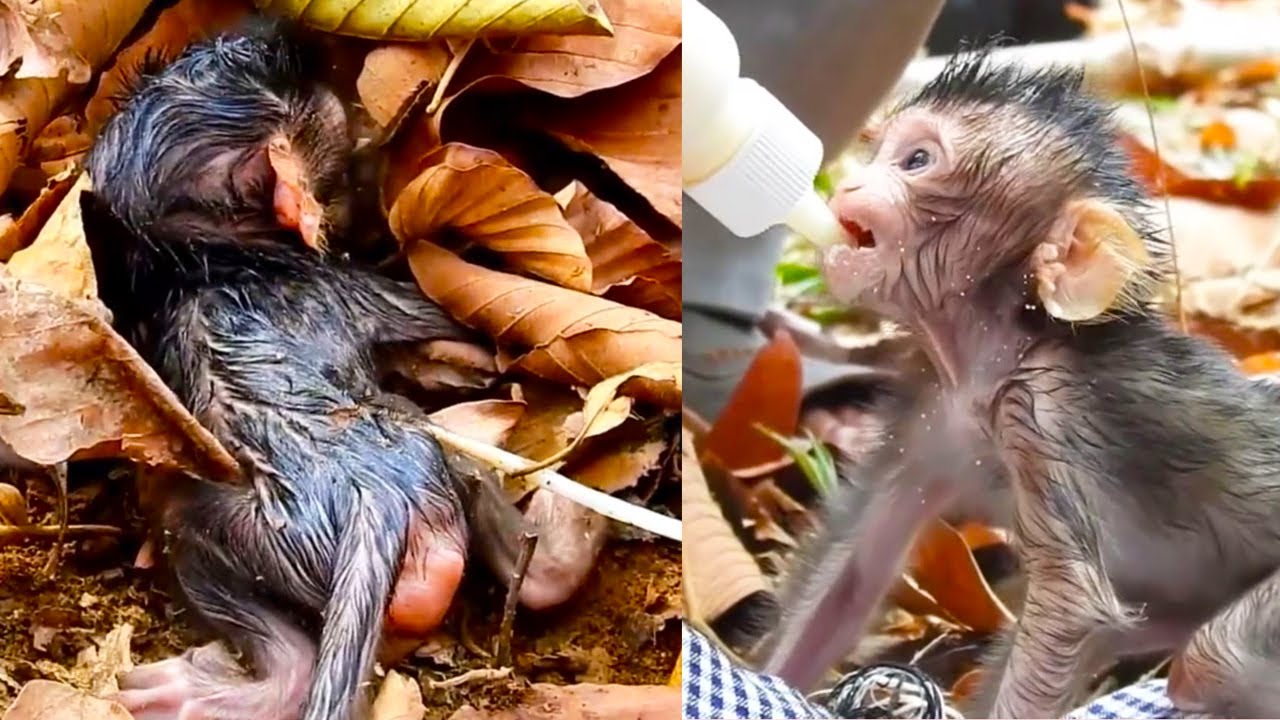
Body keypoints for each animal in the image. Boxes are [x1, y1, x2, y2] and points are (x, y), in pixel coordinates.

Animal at [757, 47, 1280, 719]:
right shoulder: (929, 401)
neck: (995, 357)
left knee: (1216, 657)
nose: (847, 185)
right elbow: (856, 575)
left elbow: (1069, 603)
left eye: (916, 160)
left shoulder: (1045, 414)